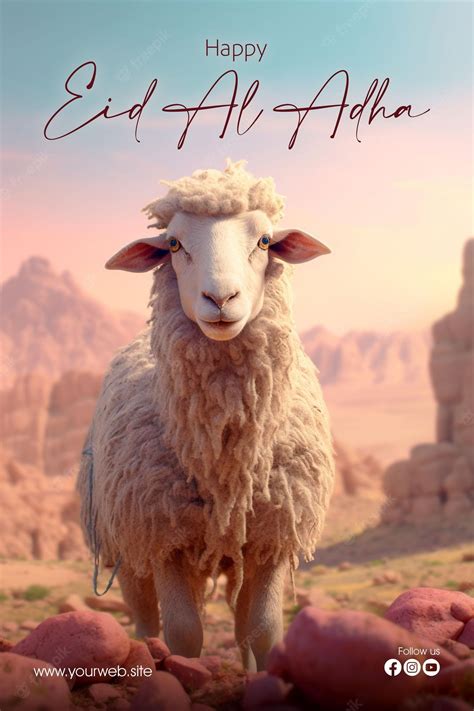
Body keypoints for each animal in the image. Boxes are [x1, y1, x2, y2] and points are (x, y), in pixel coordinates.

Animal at [77, 159, 335, 671]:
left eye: (264, 240)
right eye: (175, 244)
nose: (221, 299)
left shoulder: (273, 534)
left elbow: (262, 630)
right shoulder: (165, 536)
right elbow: (183, 634)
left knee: (239, 629)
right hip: (127, 539)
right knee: (145, 621)